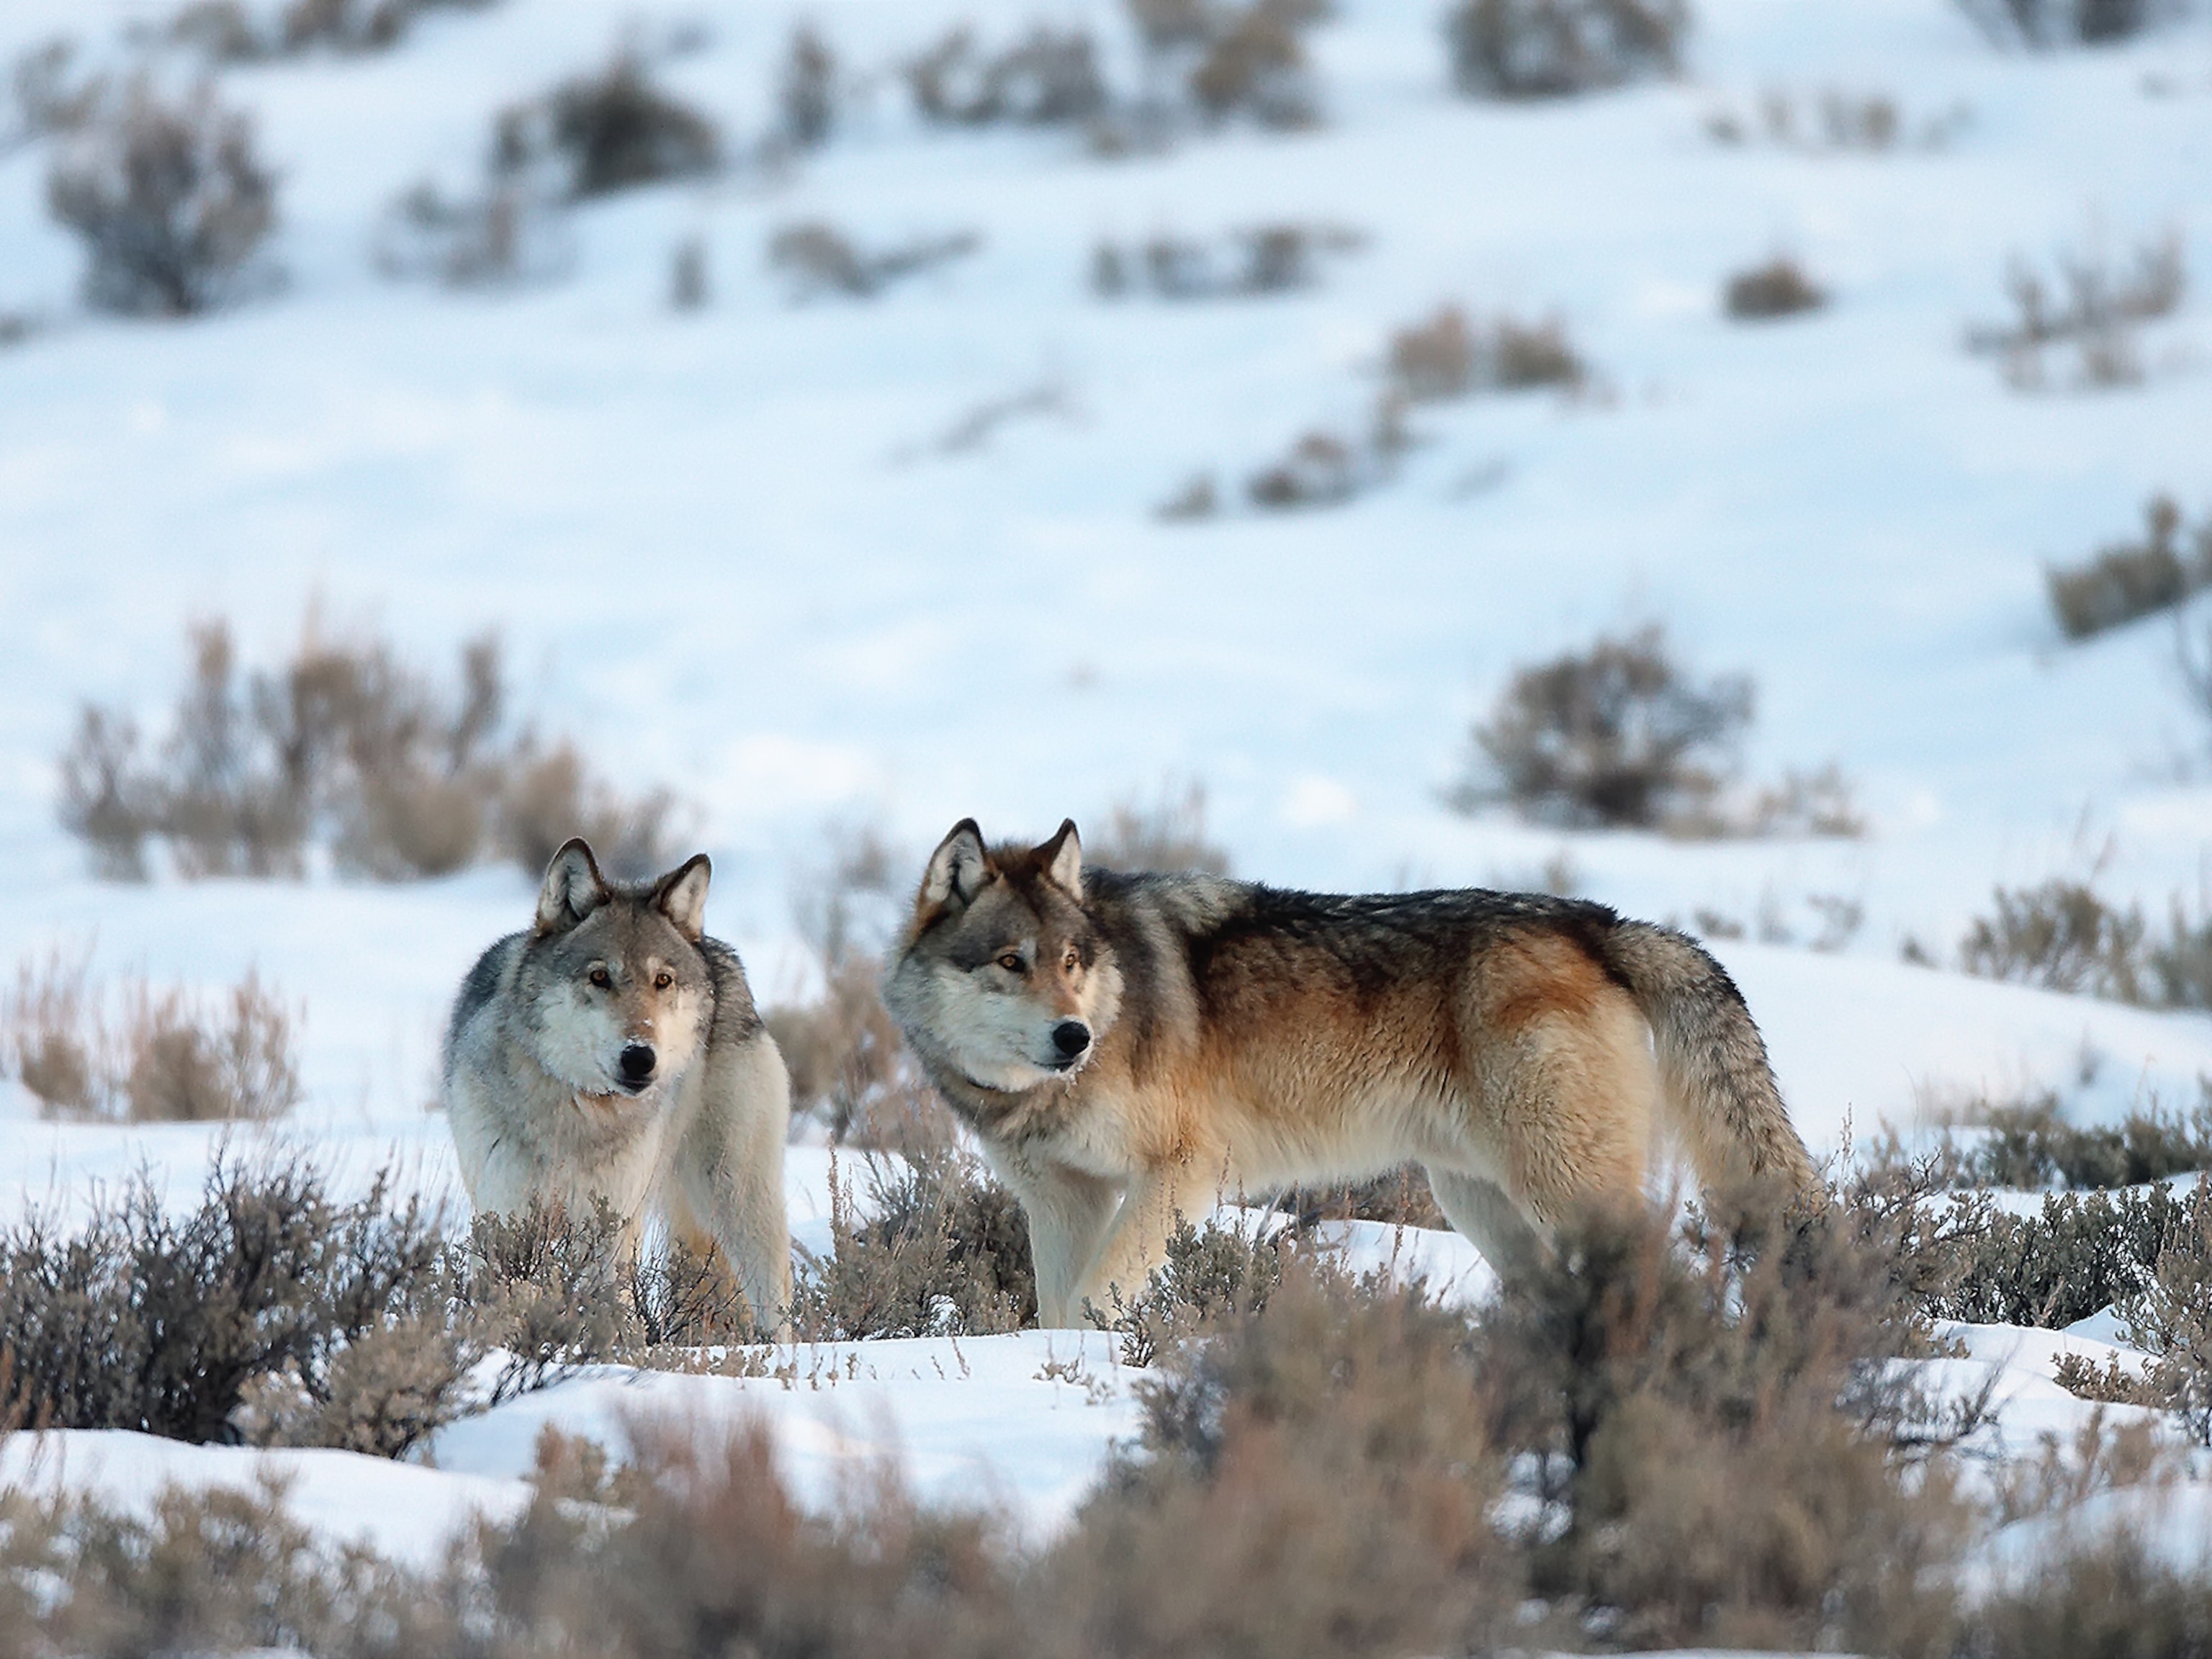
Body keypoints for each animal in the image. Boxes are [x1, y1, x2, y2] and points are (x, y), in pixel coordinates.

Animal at [443, 838, 792, 1334]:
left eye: (662, 980)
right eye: (599, 977)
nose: (641, 1058)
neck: (580, 1111)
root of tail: (716, 951)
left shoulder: (610, 1229)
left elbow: (613, 1316)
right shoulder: (503, 1214)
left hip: (736, 1196)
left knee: (778, 1307)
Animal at [883, 819, 1817, 1327]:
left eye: (1073, 962)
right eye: (1012, 961)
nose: (1074, 1036)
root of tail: (1597, 922)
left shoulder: (1181, 1174)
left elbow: (1093, 1300)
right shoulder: (1062, 1200)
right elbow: (1057, 1309)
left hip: (1556, 1190)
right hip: (1478, 1200)